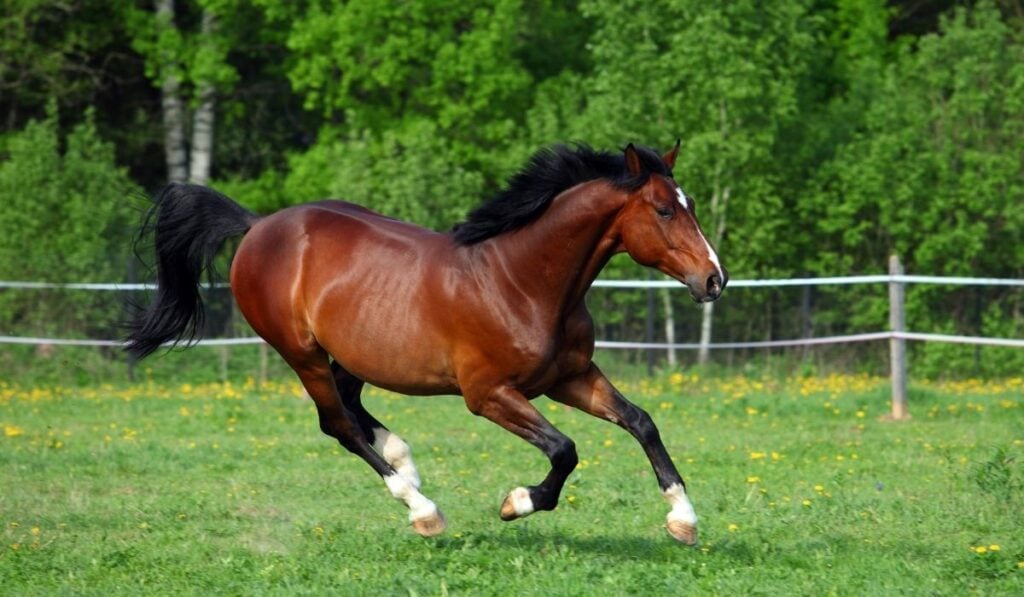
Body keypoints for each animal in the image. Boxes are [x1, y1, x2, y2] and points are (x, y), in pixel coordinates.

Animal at [126, 142, 727, 544]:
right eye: (664, 210)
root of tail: (257, 226)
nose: (715, 280)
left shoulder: (571, 378)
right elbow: (564, 449)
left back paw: (404, 460)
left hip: (355, 355)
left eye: (692, 203)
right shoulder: (488, 395)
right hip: (301, 354)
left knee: (349, 408)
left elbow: (642, 422)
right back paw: (421, 507)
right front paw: (516, 503)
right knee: (339, 424)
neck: (521, 280)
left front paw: (683, 520)